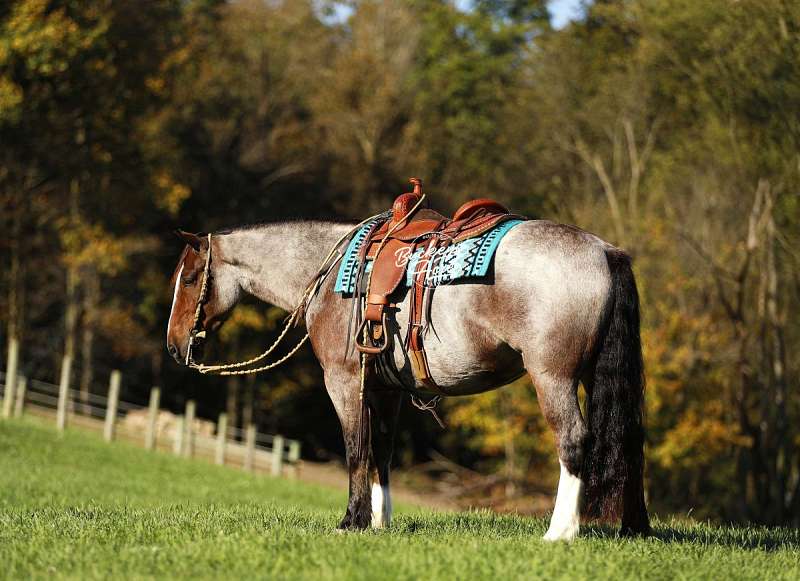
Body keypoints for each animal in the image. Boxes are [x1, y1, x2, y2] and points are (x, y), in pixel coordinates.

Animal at [165, 216, 650, 541]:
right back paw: (634, 527)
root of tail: (604, 251)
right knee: (629, 438)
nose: (173, 346)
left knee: (573, 440)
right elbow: (382, 452)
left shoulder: (344, 383)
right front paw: (380, 521)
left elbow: (356, 449)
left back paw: (560, 532)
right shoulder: (386, 390)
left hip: (553, 377)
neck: (331, 277)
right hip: (592, 376)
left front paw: (352, 521)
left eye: (190, 279)